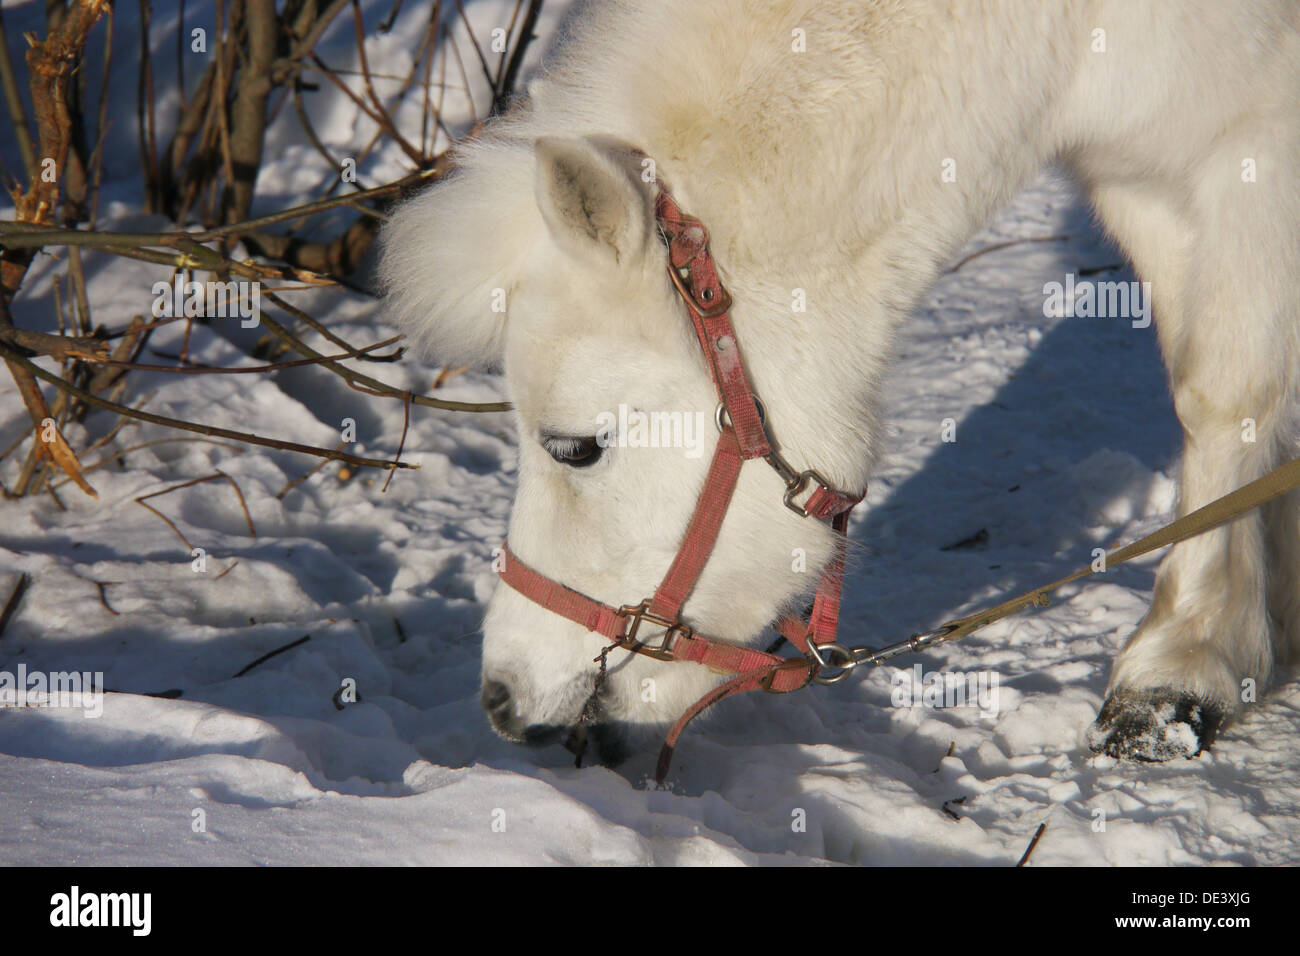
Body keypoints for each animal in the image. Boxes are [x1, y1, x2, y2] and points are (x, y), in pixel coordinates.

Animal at [378, 0, 1300, 768]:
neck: (1066, 30)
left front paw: (1183, 665)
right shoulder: (1144, 175)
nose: (502, 699)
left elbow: (1223, 399)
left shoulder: (1251, 143)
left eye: (576, 447)